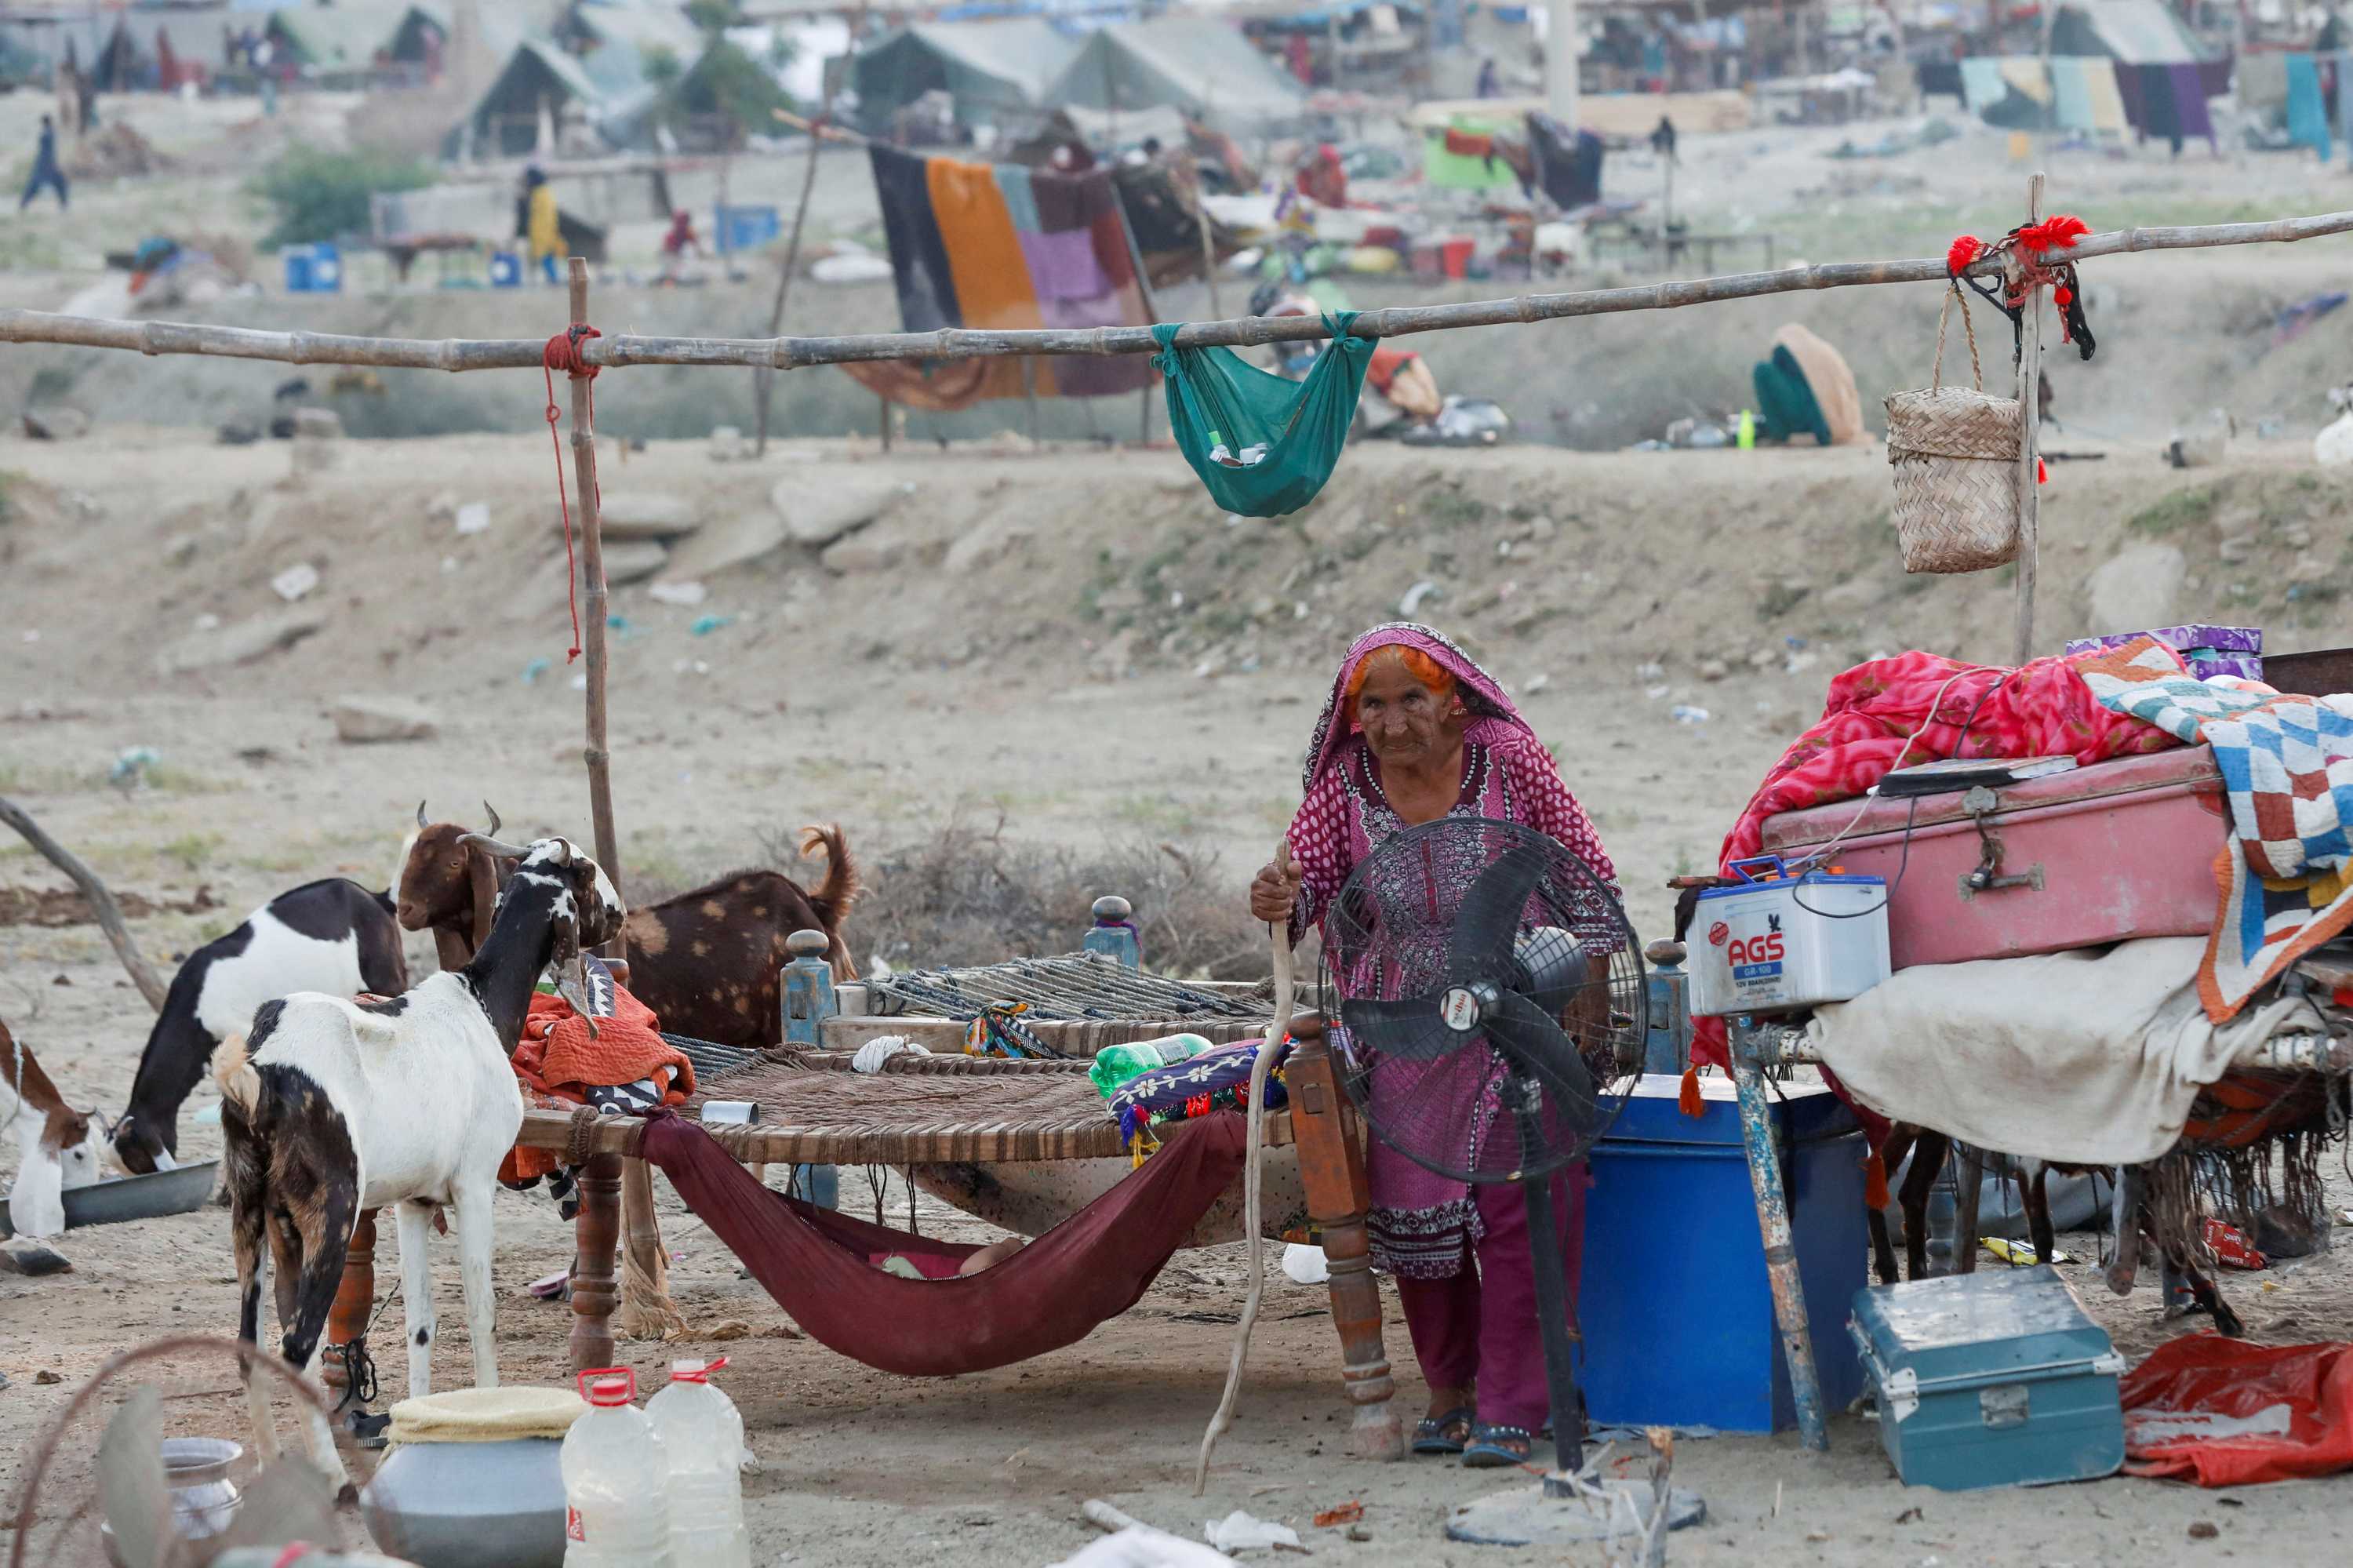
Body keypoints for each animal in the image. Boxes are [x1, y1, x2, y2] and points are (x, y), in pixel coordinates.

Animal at [219, 828, 626, 1478]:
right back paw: (334, 1477)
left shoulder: (413, 1203)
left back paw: (274, 1469)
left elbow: (420, 1324)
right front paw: (493, 1415)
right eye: (585, 872)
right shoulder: (475, 1186)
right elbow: (482, 1312)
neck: (478, 1003)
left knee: (250, 1345)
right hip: (333, 1212)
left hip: (254, 1219)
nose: (620, 911)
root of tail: (261, 1073)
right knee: (297, 1344)